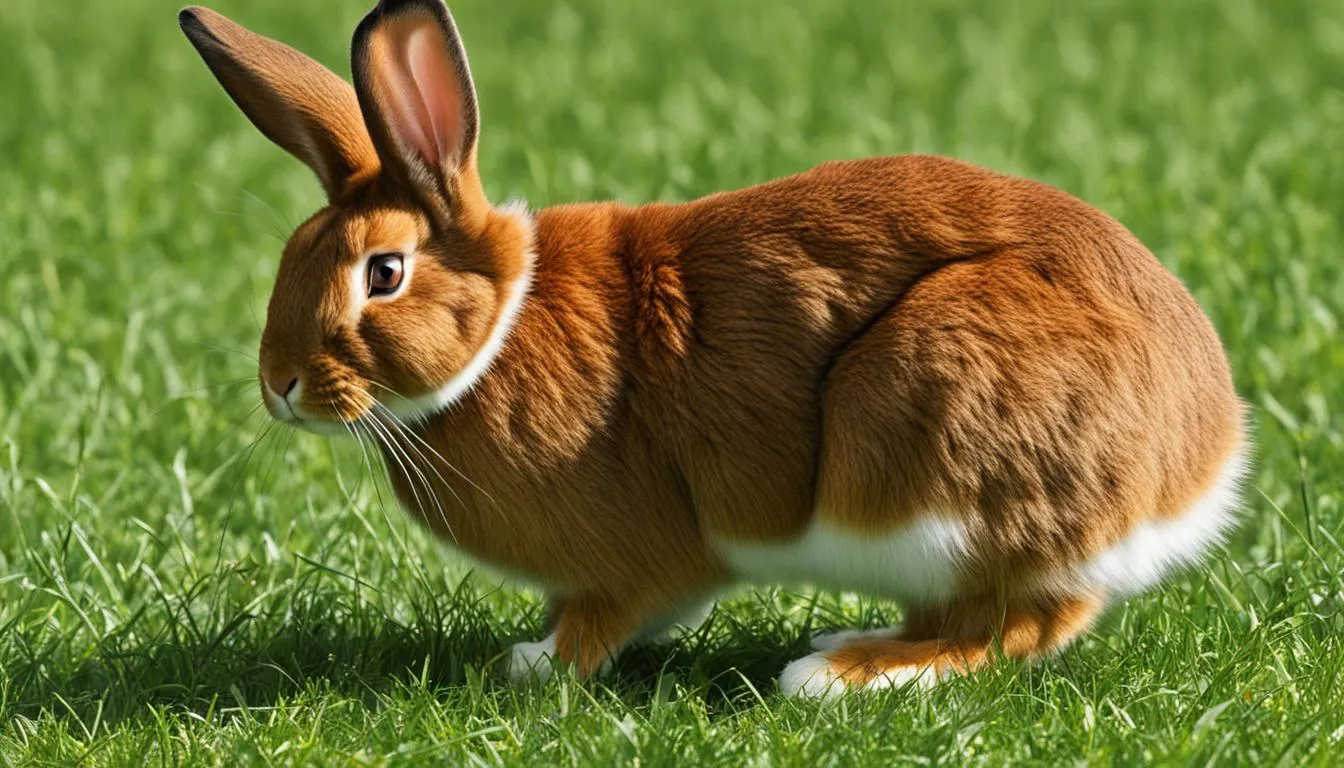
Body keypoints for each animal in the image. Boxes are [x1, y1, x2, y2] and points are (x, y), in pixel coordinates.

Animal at [179, 0, 1247, 698]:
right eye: (295, 252)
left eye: (385, 273)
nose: (280, 386)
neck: (503, 326)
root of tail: (1198, 468)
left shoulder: (642, 556)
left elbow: (605, 619)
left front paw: (529, 667)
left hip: (938, 446)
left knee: (1020, 622)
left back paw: (841, 673)